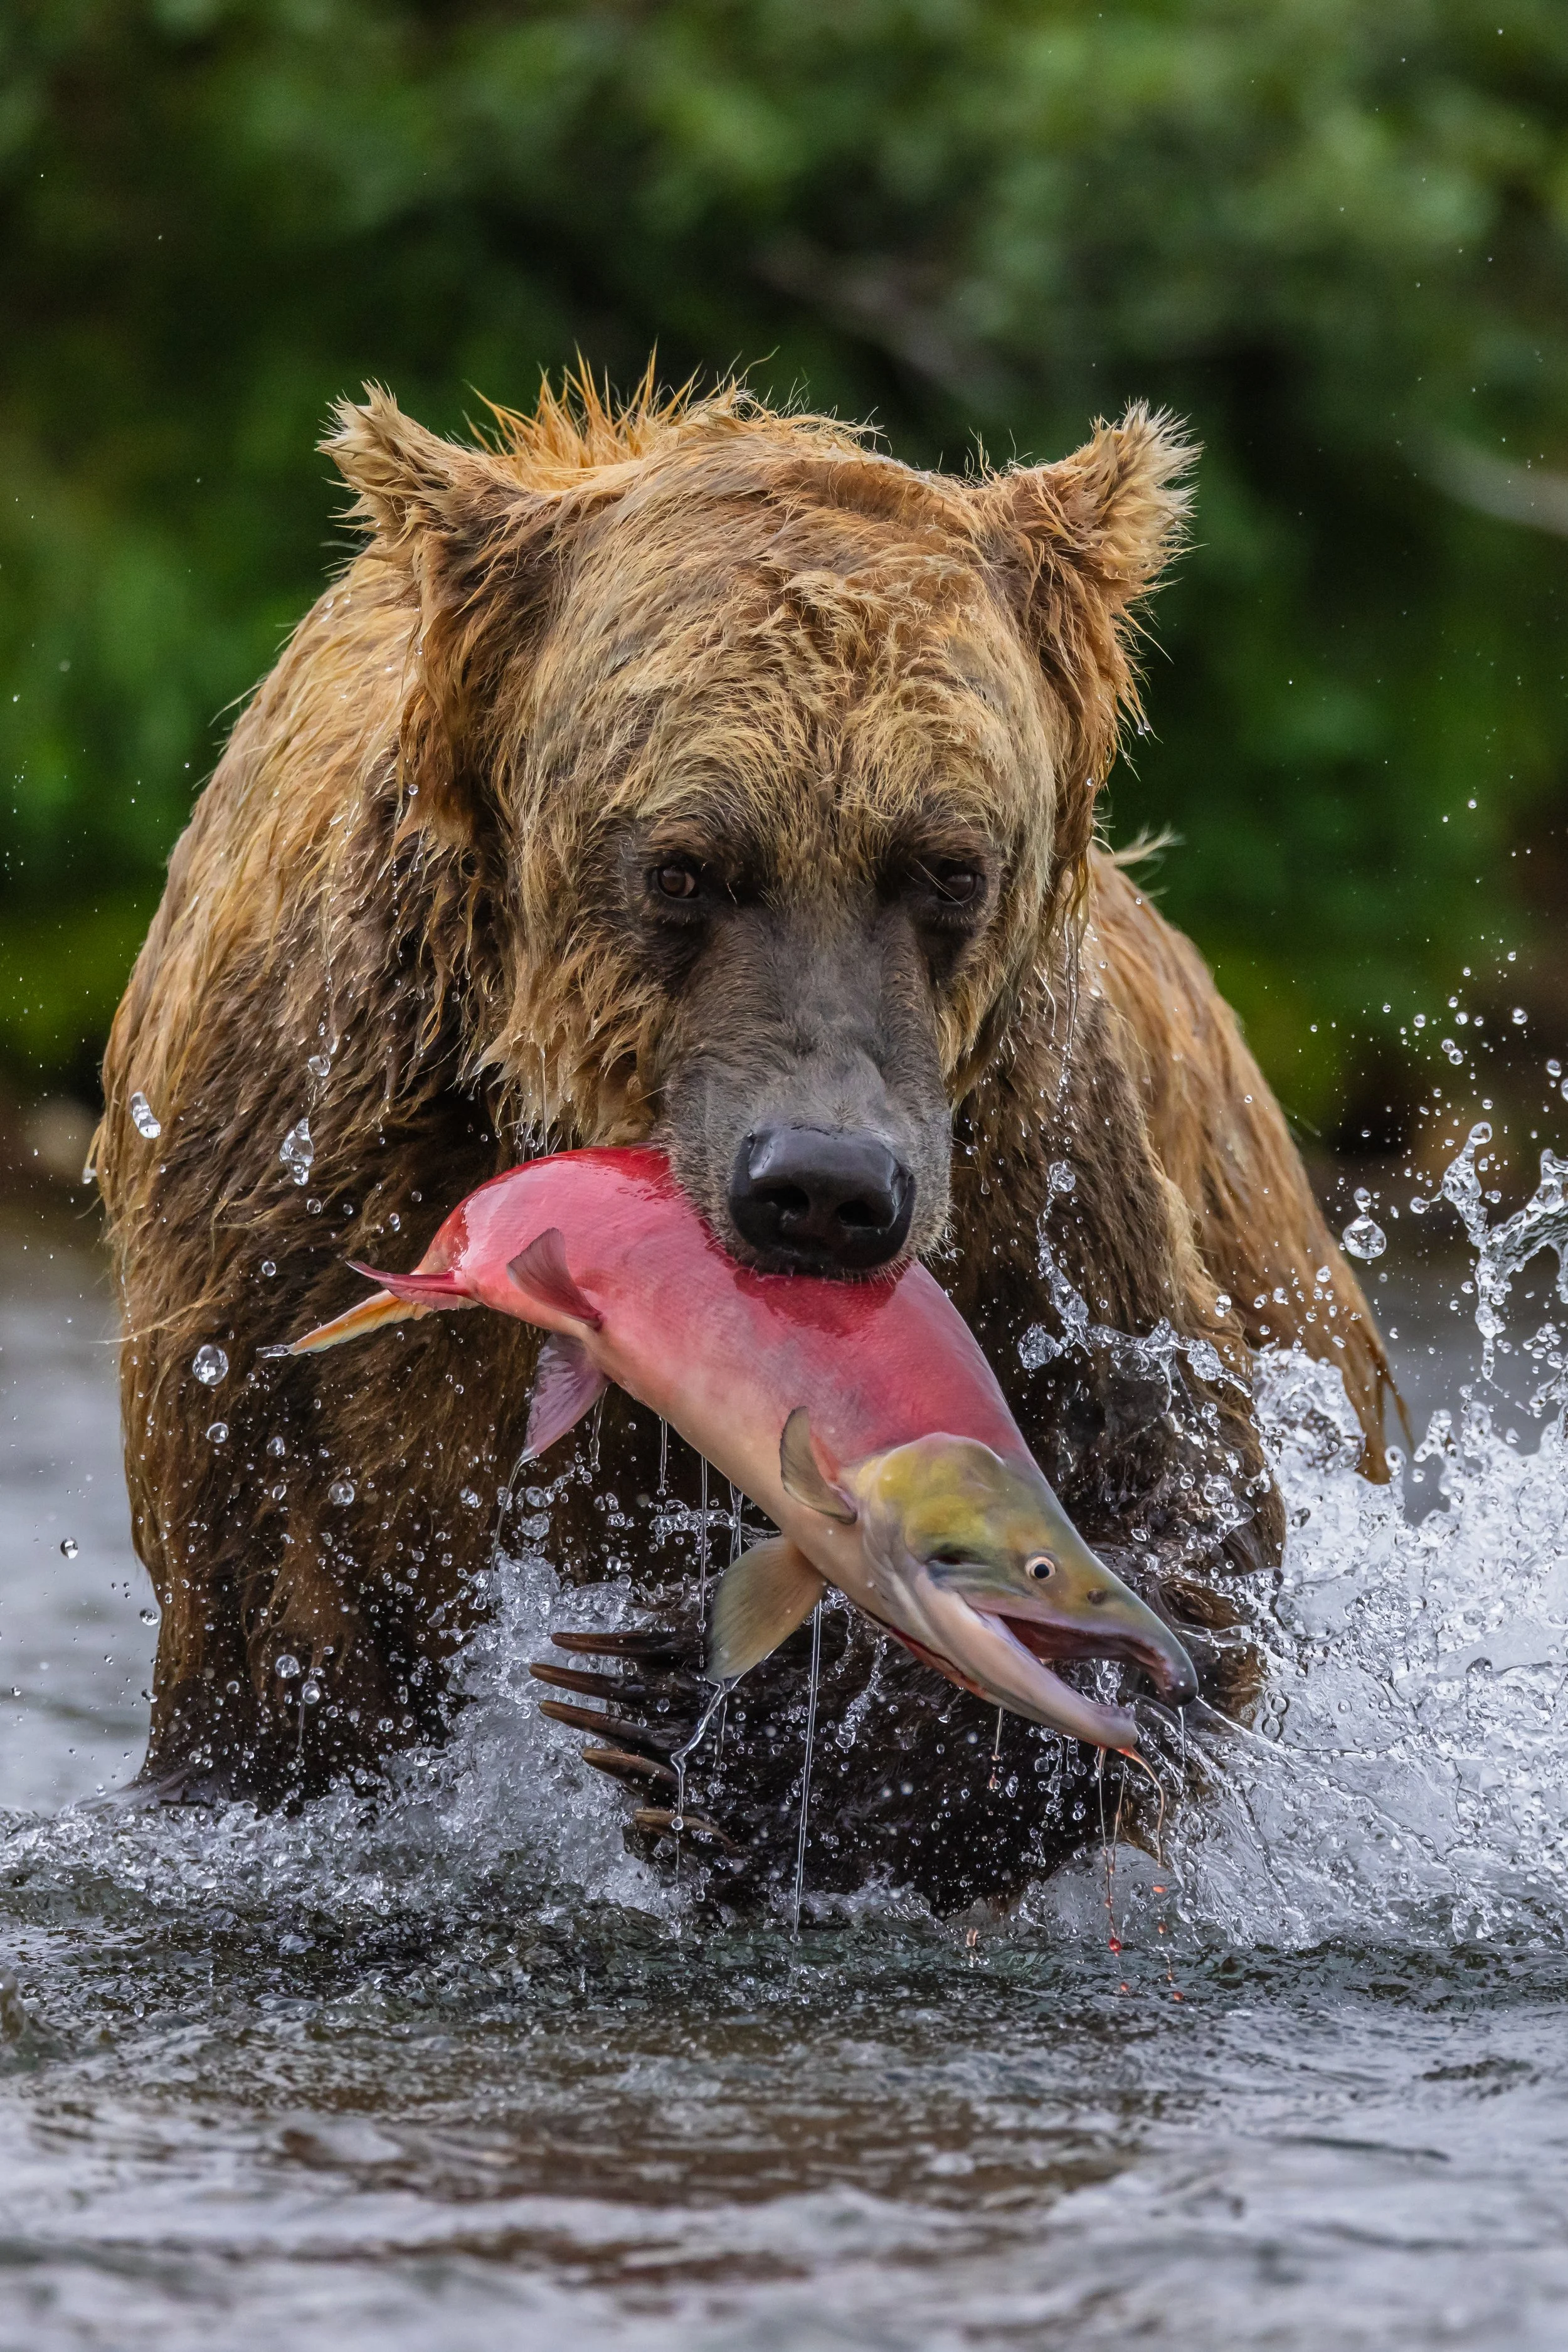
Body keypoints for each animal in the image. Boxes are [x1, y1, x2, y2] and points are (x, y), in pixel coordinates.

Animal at [95, 371, 1391, 1909]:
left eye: (946, 867)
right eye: (684, 867)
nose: (824, 1191)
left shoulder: (1043, 1183)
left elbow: (1181, 1517)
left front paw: (724, 1726)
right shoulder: (295, 1176)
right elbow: (273, 1618)